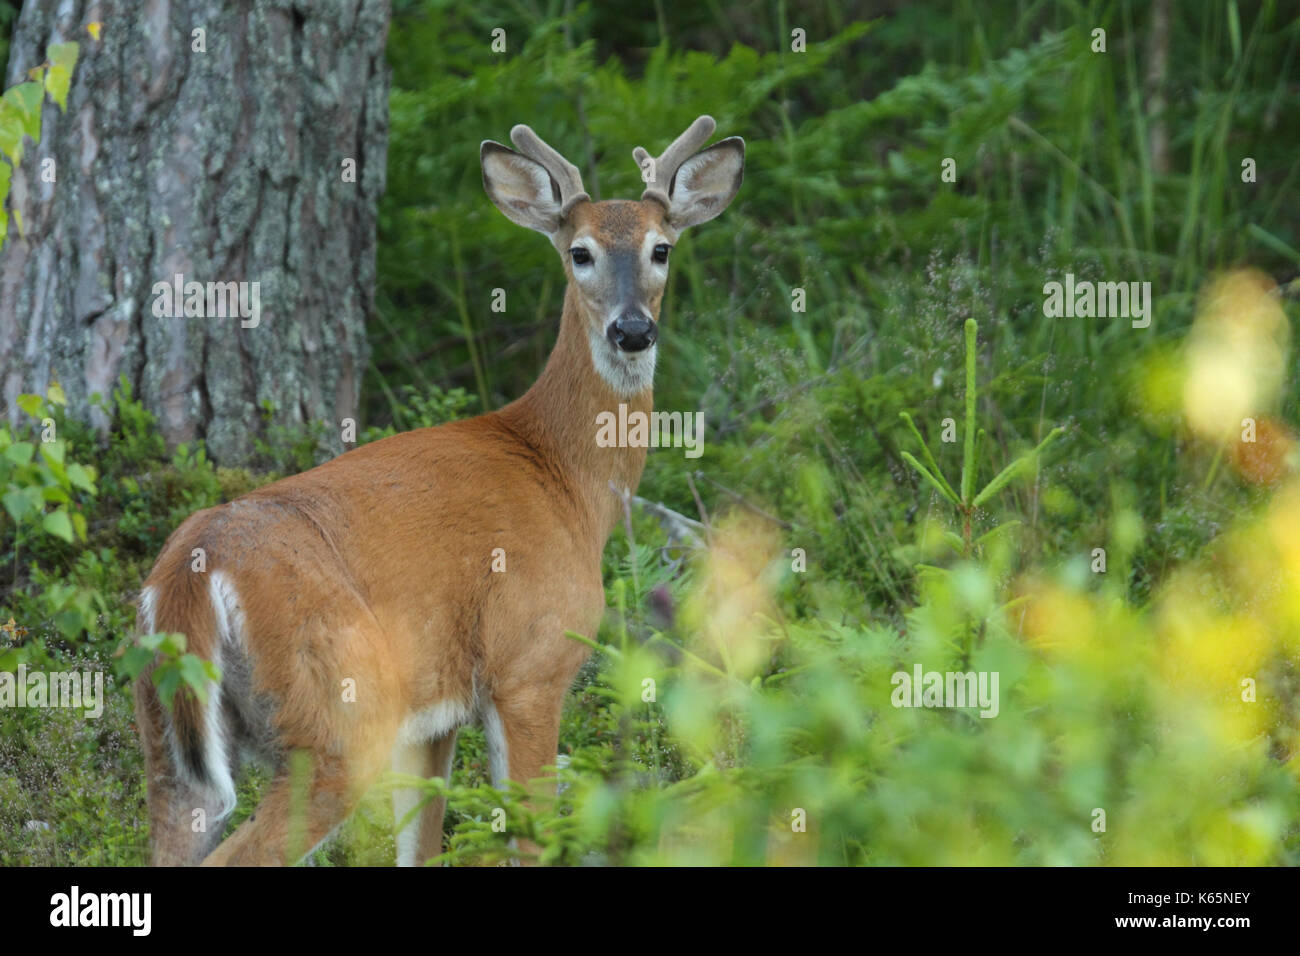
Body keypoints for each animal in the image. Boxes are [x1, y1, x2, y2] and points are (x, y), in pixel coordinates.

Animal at [133, 116, 744, 865]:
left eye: (662, 248)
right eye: (580, 252)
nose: (632, 329)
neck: (567, 481)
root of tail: (192, 573)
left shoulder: (434, 715)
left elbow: (419, 847)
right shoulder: (531, 661)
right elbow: (533, 837)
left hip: (169, 745)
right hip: (338, 719)